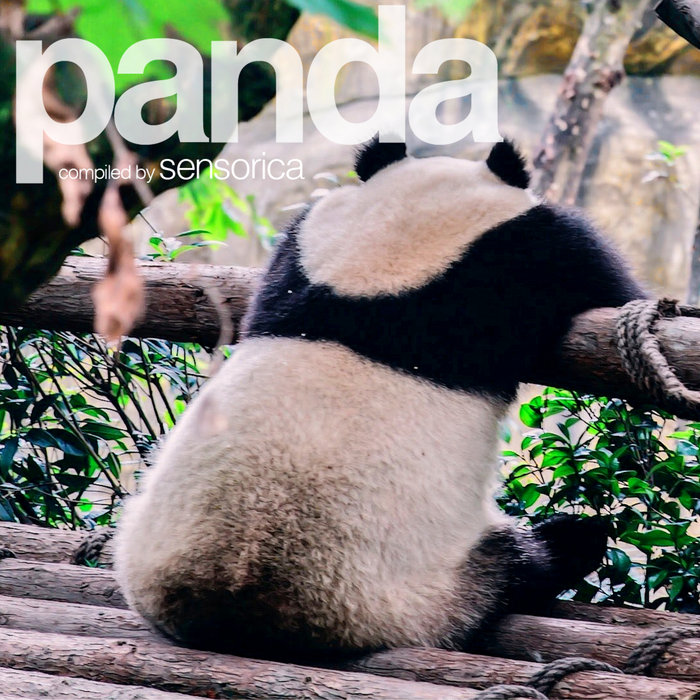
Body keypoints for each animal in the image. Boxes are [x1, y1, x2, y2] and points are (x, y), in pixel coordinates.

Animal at [114, 138, 645, 660]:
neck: (389, 252)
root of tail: (231, 606)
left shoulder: (302, 248)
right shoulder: (531, 250)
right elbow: (608, 283)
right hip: (414, 590)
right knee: (518, 566)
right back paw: (570, 542)